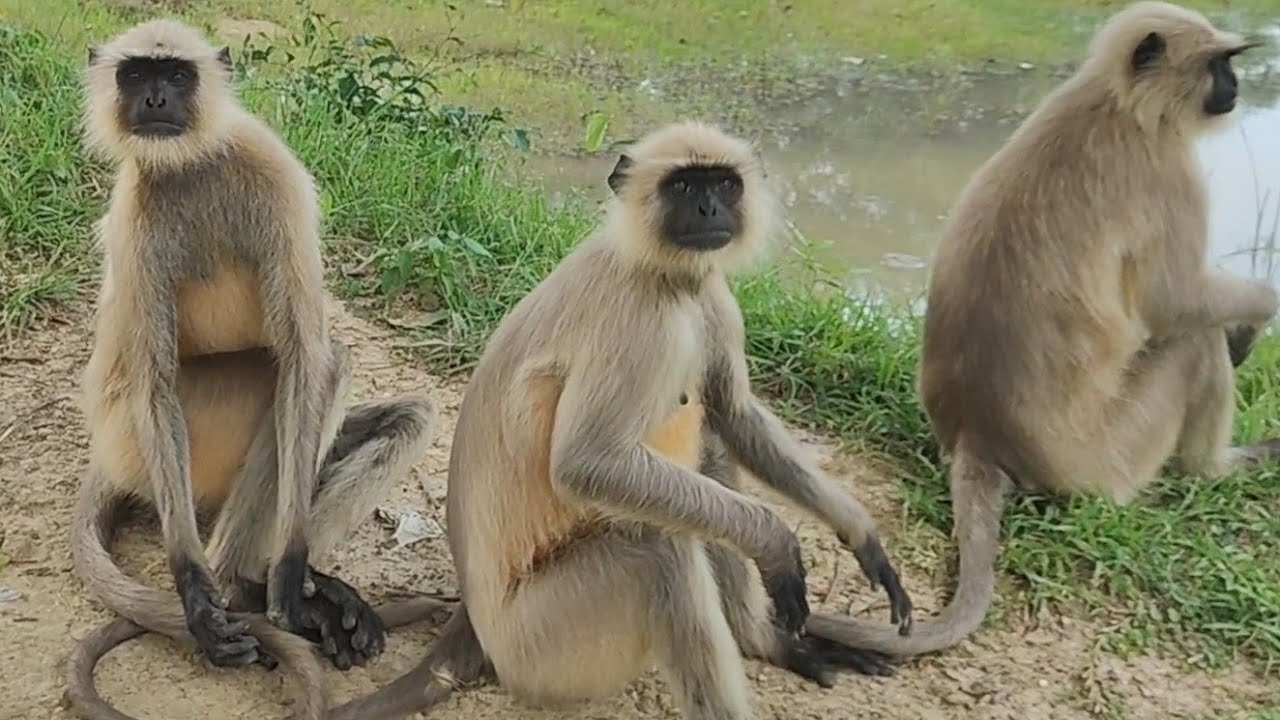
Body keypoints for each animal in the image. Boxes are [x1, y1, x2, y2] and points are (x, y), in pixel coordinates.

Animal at [65, 19, 439, 720]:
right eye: (136, 74)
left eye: (176, 75)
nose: (154, 99)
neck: (193, 166)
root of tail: (107, 452)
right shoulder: (135, 216)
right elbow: (158, 385)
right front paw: (195, 589)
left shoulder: (274, 171)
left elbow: (302, 355)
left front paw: (292, 576)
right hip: (163, 440)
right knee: (295, 372)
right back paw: (234, 583)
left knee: (361, 390)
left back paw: (285, 586)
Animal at [326, 121, 915, 720]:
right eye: (683, 187)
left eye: (723, 184)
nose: (707, 209)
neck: (661, 274)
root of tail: (471, 623)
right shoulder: (638, 321)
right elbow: (588, 465)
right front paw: (776, 543)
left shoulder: (711, 295)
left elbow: (734, 412)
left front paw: (860, 533)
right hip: (541, 645)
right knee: (661, 551)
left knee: (710, 447)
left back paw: (761, 640)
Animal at [801, 0, 1280, 660]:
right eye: (1220, 65)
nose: (1233, 89)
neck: (1117, 100)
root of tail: (979, 434)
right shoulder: (1168, 171)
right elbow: (1172, 304)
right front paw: (1256, 314)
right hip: (1113, 459)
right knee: (1192, 344)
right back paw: (1215, 467)